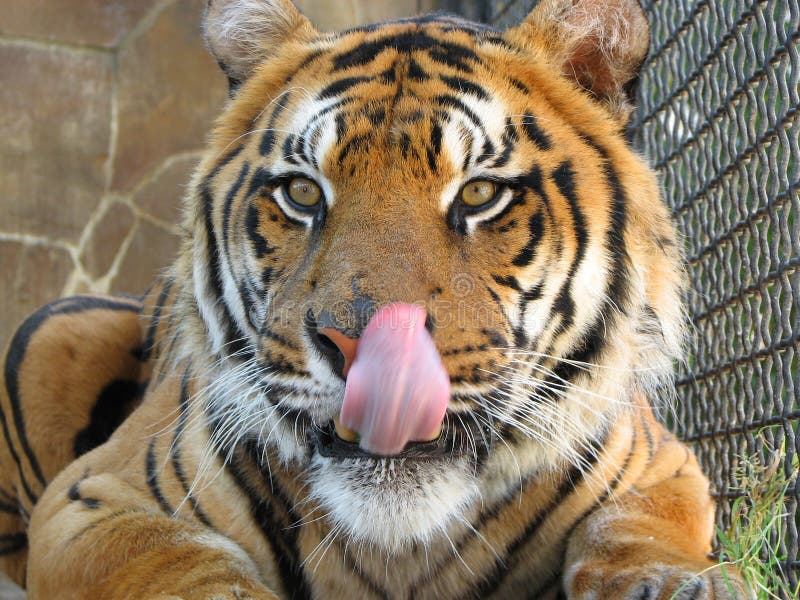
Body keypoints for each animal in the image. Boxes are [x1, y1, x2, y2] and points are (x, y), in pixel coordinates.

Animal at [0, 0, 750, 598]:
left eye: (481, 193)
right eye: (303, 192)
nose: (362, 346)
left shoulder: (664, 468)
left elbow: (632, 532)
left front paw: (681, 584)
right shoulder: (93, 497)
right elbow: (186, 567)